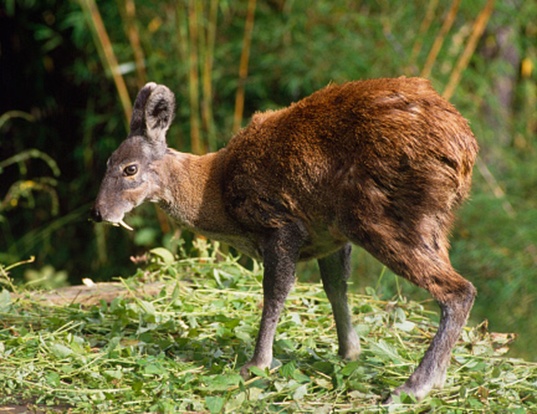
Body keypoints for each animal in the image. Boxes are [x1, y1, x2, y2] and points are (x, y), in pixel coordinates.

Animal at [92, 77, 478, 402]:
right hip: (427, 226)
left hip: (383, 217)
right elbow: (335, 287)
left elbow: (276, 291)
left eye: (130, 169)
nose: (98, 213)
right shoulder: (330, 236)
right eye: (107, 162)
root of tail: (464, 151)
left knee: (459, 290)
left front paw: (257, 364)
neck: (214, 195)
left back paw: (413, 387)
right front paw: (348, 353)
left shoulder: (279, 222)